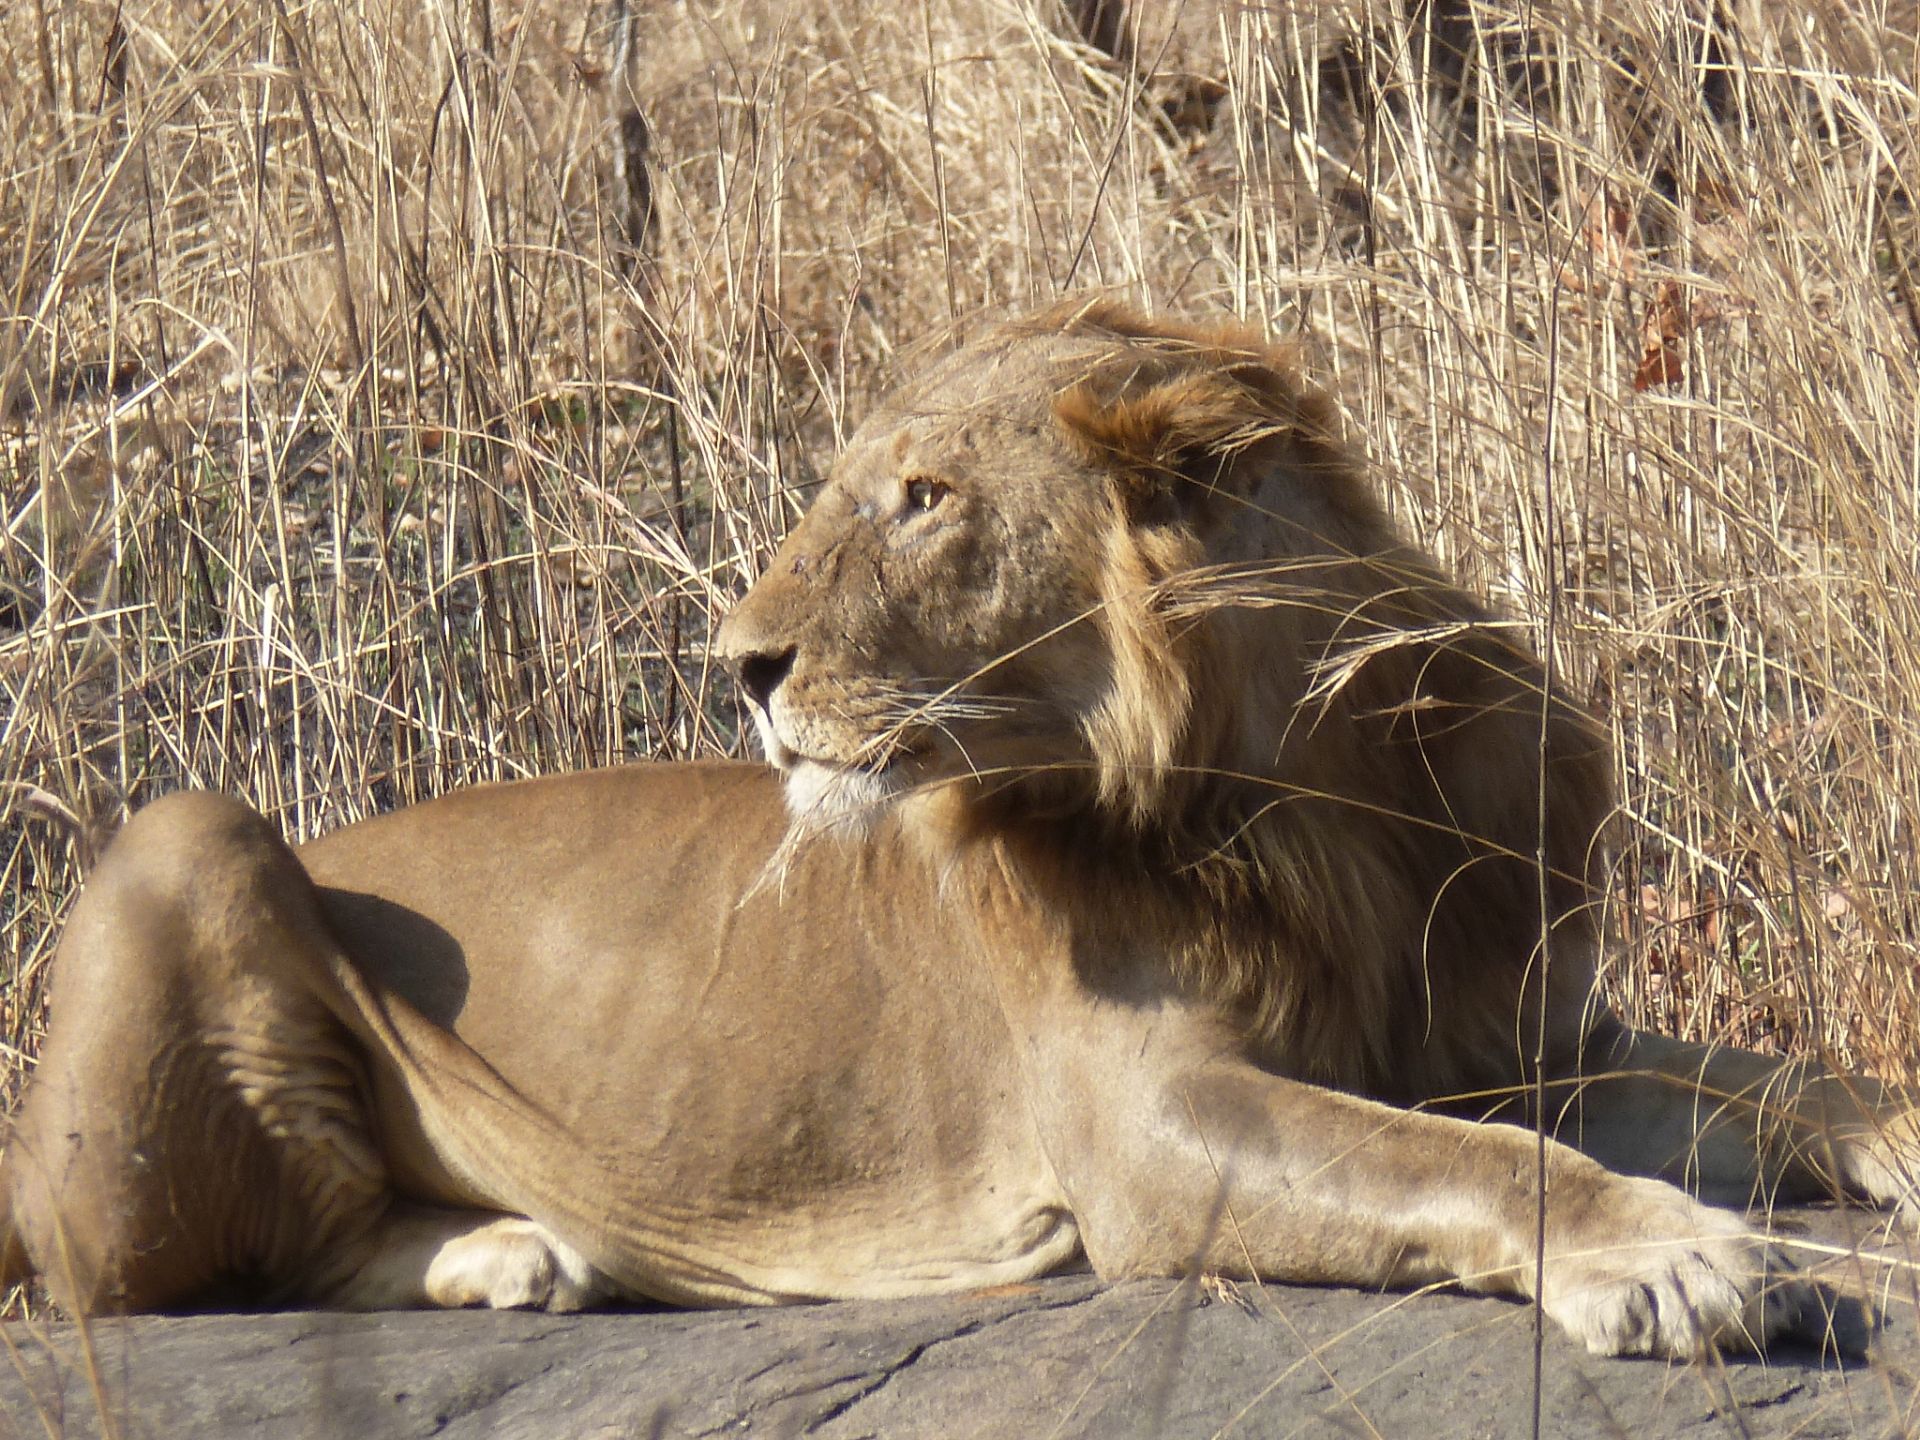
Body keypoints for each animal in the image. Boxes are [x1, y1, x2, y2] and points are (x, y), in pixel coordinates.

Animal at [2, 299, 1915, 1359]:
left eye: (922, 499)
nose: (738, 666)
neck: (1317, 795)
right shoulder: (1148, 1132)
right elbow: (1464, 1161)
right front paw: (1666, 1256)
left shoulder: (1498, 1031)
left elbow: (1737, 1074)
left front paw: (1884, 1128)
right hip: (187, 834)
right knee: (196, 1276)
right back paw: (516, 1245)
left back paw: (528, 1249)